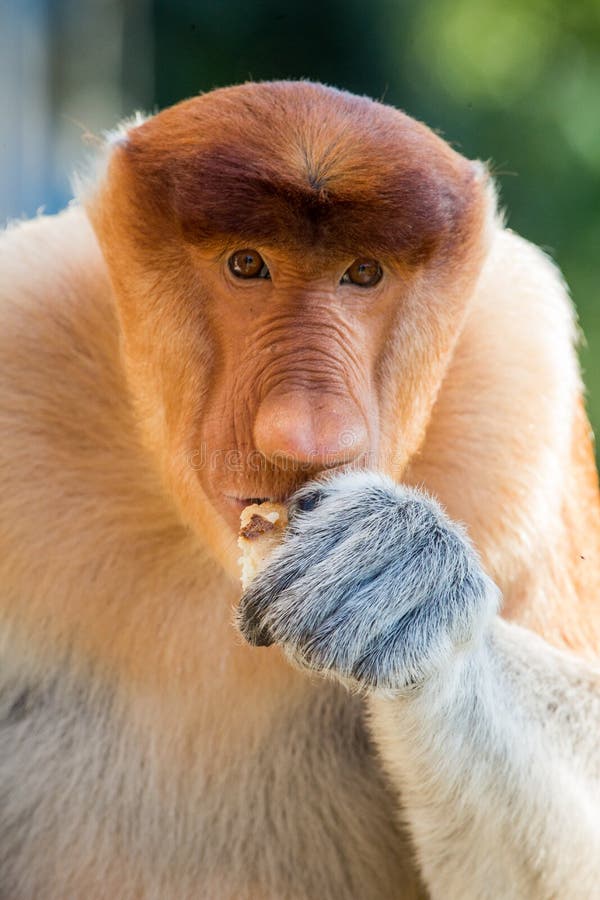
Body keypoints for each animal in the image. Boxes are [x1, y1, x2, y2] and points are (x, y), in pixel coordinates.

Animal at [0, 79, 598, 899]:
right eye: (248, 264)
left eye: (364, 273)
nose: (309, 432)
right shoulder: (20, 331)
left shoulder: (521, 382)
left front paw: (400, 574)